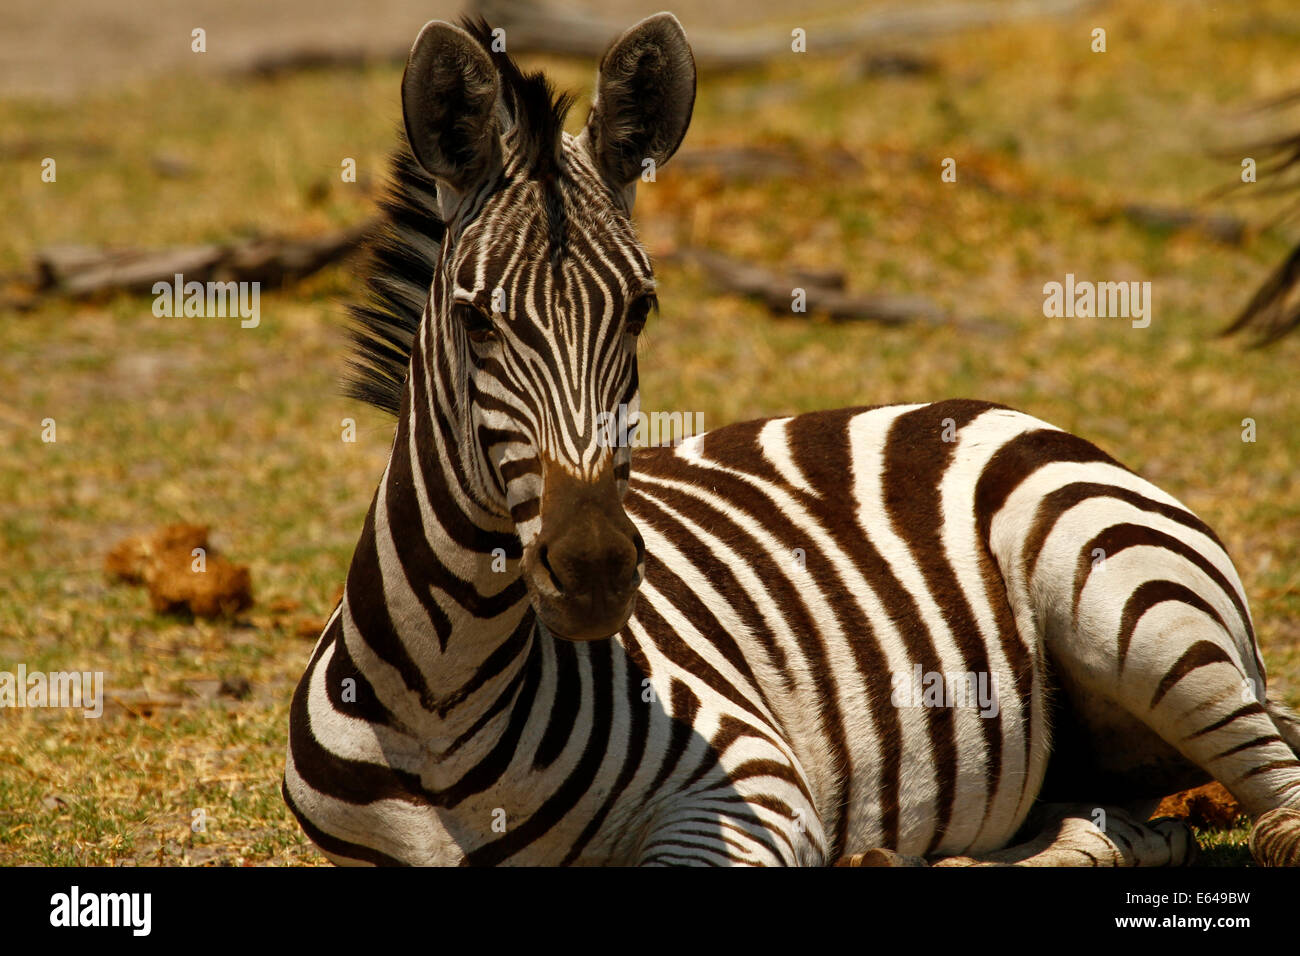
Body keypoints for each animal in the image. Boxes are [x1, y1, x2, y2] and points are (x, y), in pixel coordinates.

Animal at [283, 13, 1300, 866]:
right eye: (475, 320)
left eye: (641, 311)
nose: (599, 571)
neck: (442, 697)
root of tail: (997, 412)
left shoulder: (754, 785)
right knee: (1122, 829)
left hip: (1142, 613)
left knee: (1276, 809)